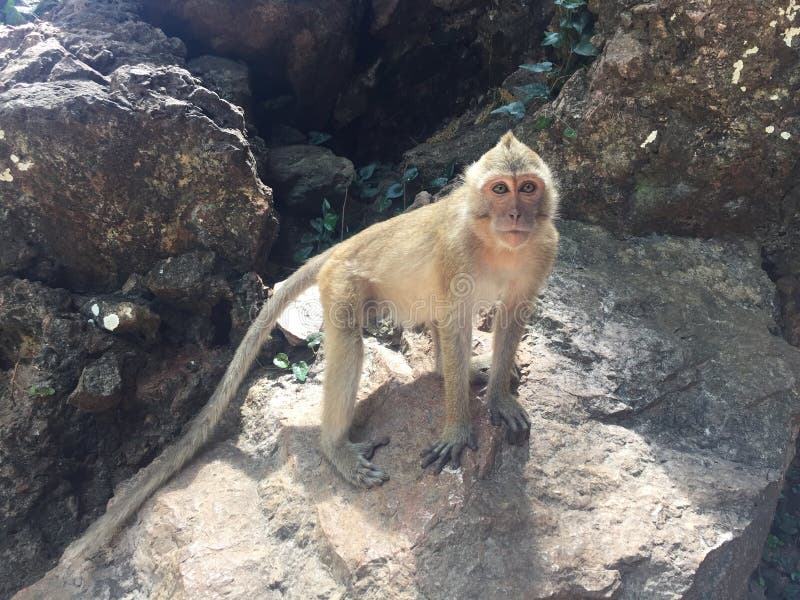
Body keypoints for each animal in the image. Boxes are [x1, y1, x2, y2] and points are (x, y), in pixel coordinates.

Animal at [60, 131, 559, 564]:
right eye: (500, 189)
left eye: (527, 188)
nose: (516, 214)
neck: (497, 244)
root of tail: (344, 245)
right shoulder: (459, 250)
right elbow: (456, 323)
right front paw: (458, 428)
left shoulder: (543, 249)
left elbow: (511, 316)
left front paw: (499, 397)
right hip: (341, 283)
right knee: (352, 342)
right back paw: (335, 447)